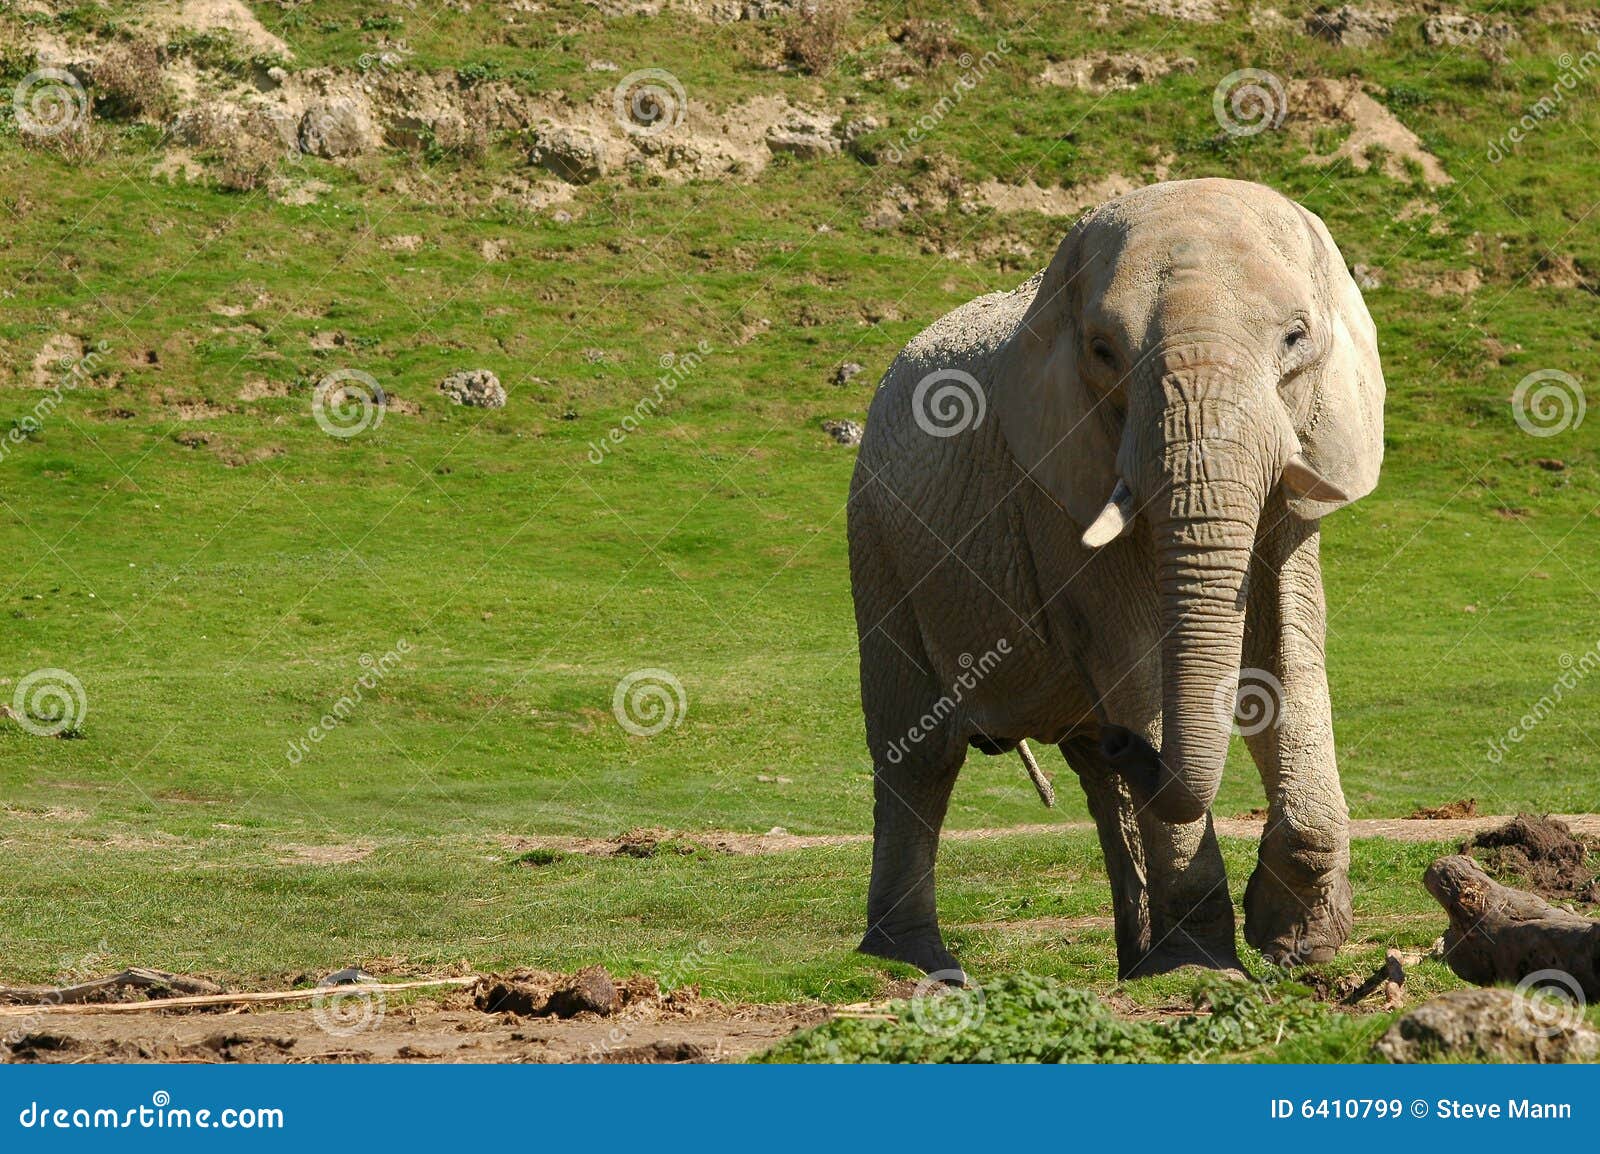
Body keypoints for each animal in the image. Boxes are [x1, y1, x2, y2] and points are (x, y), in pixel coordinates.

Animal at [847, 178, 1384, 981]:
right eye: (1103, 353)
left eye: (1296, 339)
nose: (1132, 746)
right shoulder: (1060, 491)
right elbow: (1137, 659)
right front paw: (1203, 964)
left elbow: (1284, 650)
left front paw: (1298, 942)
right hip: (877, 541)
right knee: (920, 755)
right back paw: (915, 960)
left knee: (1101, 783)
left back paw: (1134, 956)